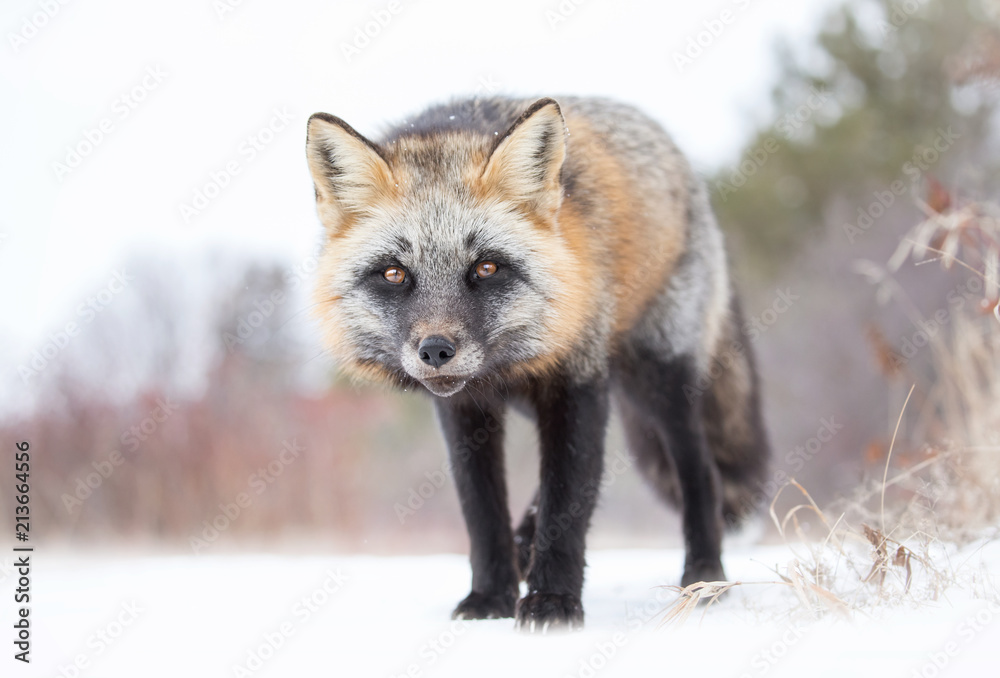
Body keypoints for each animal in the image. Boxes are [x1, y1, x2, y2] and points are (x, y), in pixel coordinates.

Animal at [305, 96, 770, 631]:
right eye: (394, 274)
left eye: (486, 267)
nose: (436, 350)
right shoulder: (466, 411)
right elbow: (484, 515)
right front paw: (490, 597)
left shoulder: (576, 384)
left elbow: (566, 500)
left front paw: (553, 601)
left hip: (660, 382)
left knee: (701, 471)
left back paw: (704, 575)